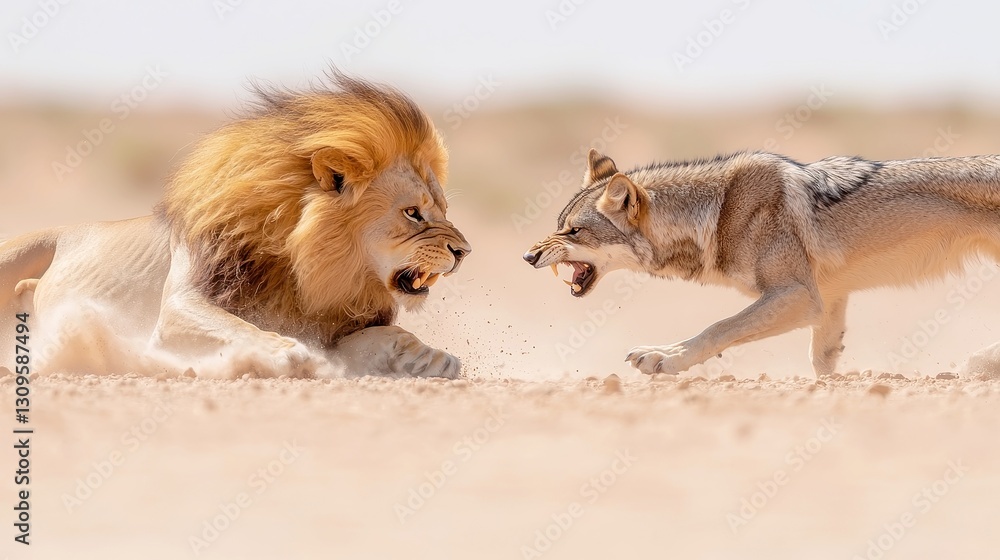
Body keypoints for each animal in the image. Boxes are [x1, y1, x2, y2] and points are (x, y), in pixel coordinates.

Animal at [0, 72, 471, 379]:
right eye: (413, 213)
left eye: (444, 209)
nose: (464, 252)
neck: (312, 269)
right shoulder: (180, 305)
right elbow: (236, 326)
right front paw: (286, 353)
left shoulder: (336, 328)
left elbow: (393, 332)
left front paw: (433, 357)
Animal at [523, 148, 1000, 376]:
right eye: (559, 225)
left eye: (574, 232)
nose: (528, 256)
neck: (718, 213)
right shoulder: (827, 300)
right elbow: (821, 361)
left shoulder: (798, 297)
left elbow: (718, 328)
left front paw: (667, 359)